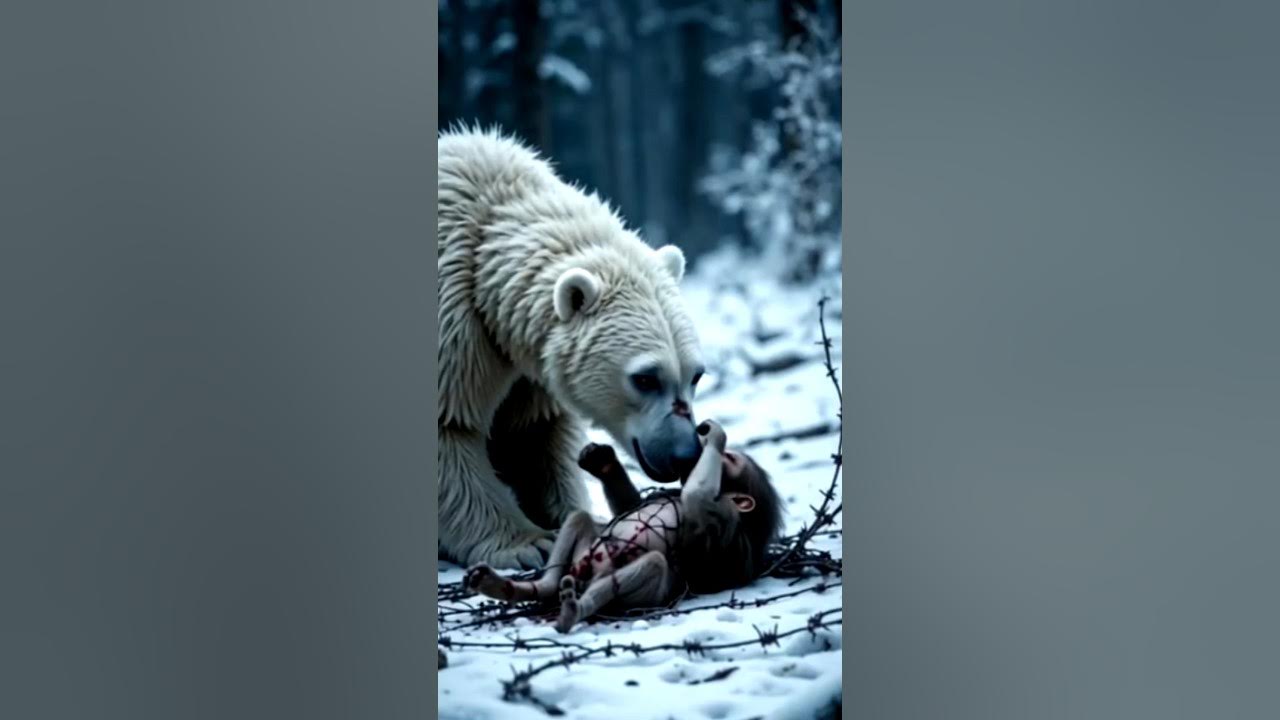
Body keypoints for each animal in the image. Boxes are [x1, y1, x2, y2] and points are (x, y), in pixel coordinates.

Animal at [438, 127, 707, 570]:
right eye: (645, 378)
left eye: (696, 375)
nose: (685, 453)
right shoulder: (457, 330)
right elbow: (451, 426)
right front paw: (527, 544)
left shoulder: (524, 362)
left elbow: (535, 432)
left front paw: (577, 519)